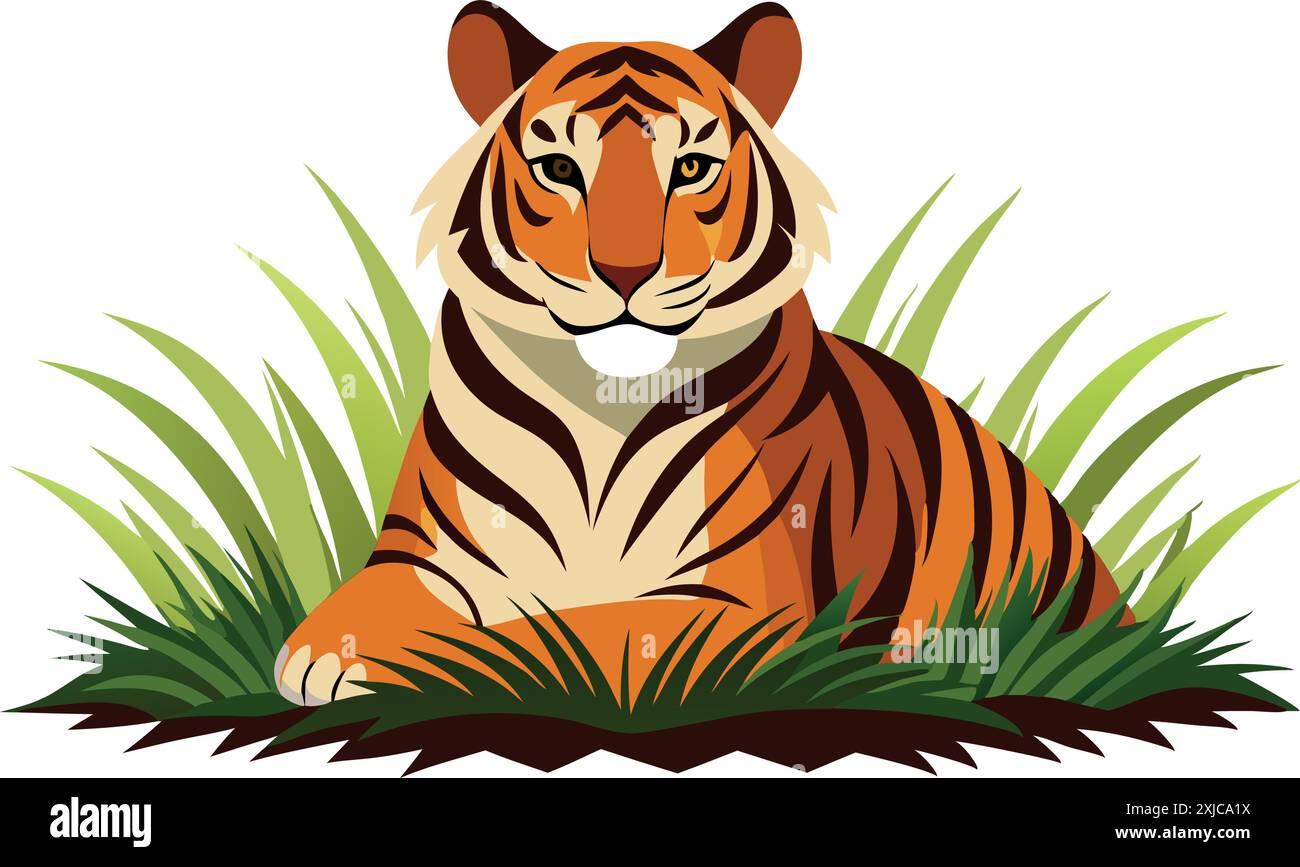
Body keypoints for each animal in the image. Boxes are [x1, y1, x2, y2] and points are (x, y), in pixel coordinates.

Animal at [274, 1, 1128, 706]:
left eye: (689, 169)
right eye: (560, 169)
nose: (624, 272)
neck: (601, 404)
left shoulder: (737, 603)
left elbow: (564, 633)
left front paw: (451, 656)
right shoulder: (421, 552)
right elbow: (371, 602)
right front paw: (329, 651)